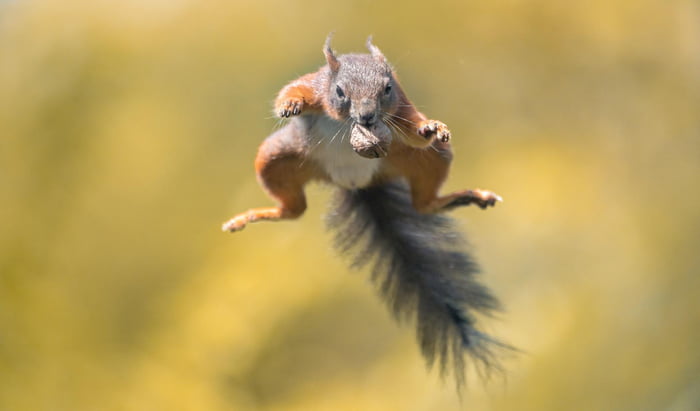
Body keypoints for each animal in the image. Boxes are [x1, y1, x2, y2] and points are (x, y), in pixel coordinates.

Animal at [222, 35, 508, 386]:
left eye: (387, 88)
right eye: (339, 91)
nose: (368, 117)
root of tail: (357, 182)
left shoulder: (401, 106)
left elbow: (415, 131)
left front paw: (431, 127)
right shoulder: (315, 85)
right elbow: (292, 89)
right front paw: (290, 105)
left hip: (425, 157)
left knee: (423, 201)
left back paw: (466, 197)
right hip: (275, 158)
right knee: (293, 210)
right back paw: (251, 216)